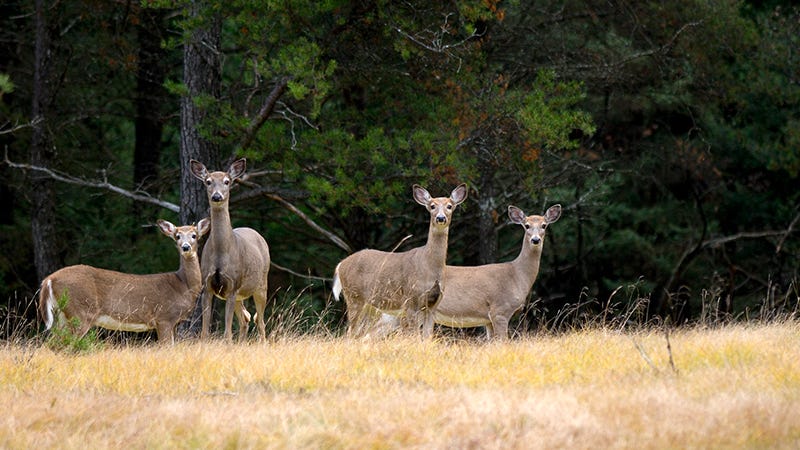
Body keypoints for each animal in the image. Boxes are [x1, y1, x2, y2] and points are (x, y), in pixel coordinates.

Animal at [38, 218, 210, 344]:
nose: (186, 247)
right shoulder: (164, 317)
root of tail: (49, 279)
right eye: (177, 236)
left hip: (62, 314)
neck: (183, 286)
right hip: (80, 312)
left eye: (194, 235)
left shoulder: (172, 323)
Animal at [190, 158, 271, 342]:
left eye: (227, 181)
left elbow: (227, 332)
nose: (217, 196)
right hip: (240, 295)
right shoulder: (207, 286)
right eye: (208, 181)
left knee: (260, 321)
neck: (221, 254)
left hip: (261, 284)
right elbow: (205, 332)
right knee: (246, 319)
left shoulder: (232, 285)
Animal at [332, 183, 468, 338]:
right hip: (354, 296)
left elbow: (427, 337)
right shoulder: (411, 299)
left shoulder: (433, 305)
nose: (440, 218)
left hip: (370, 305)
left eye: (449, 206)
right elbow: (413, 335)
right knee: (349, 333)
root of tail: (340, 265)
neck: (429, 266)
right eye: (432, 206)